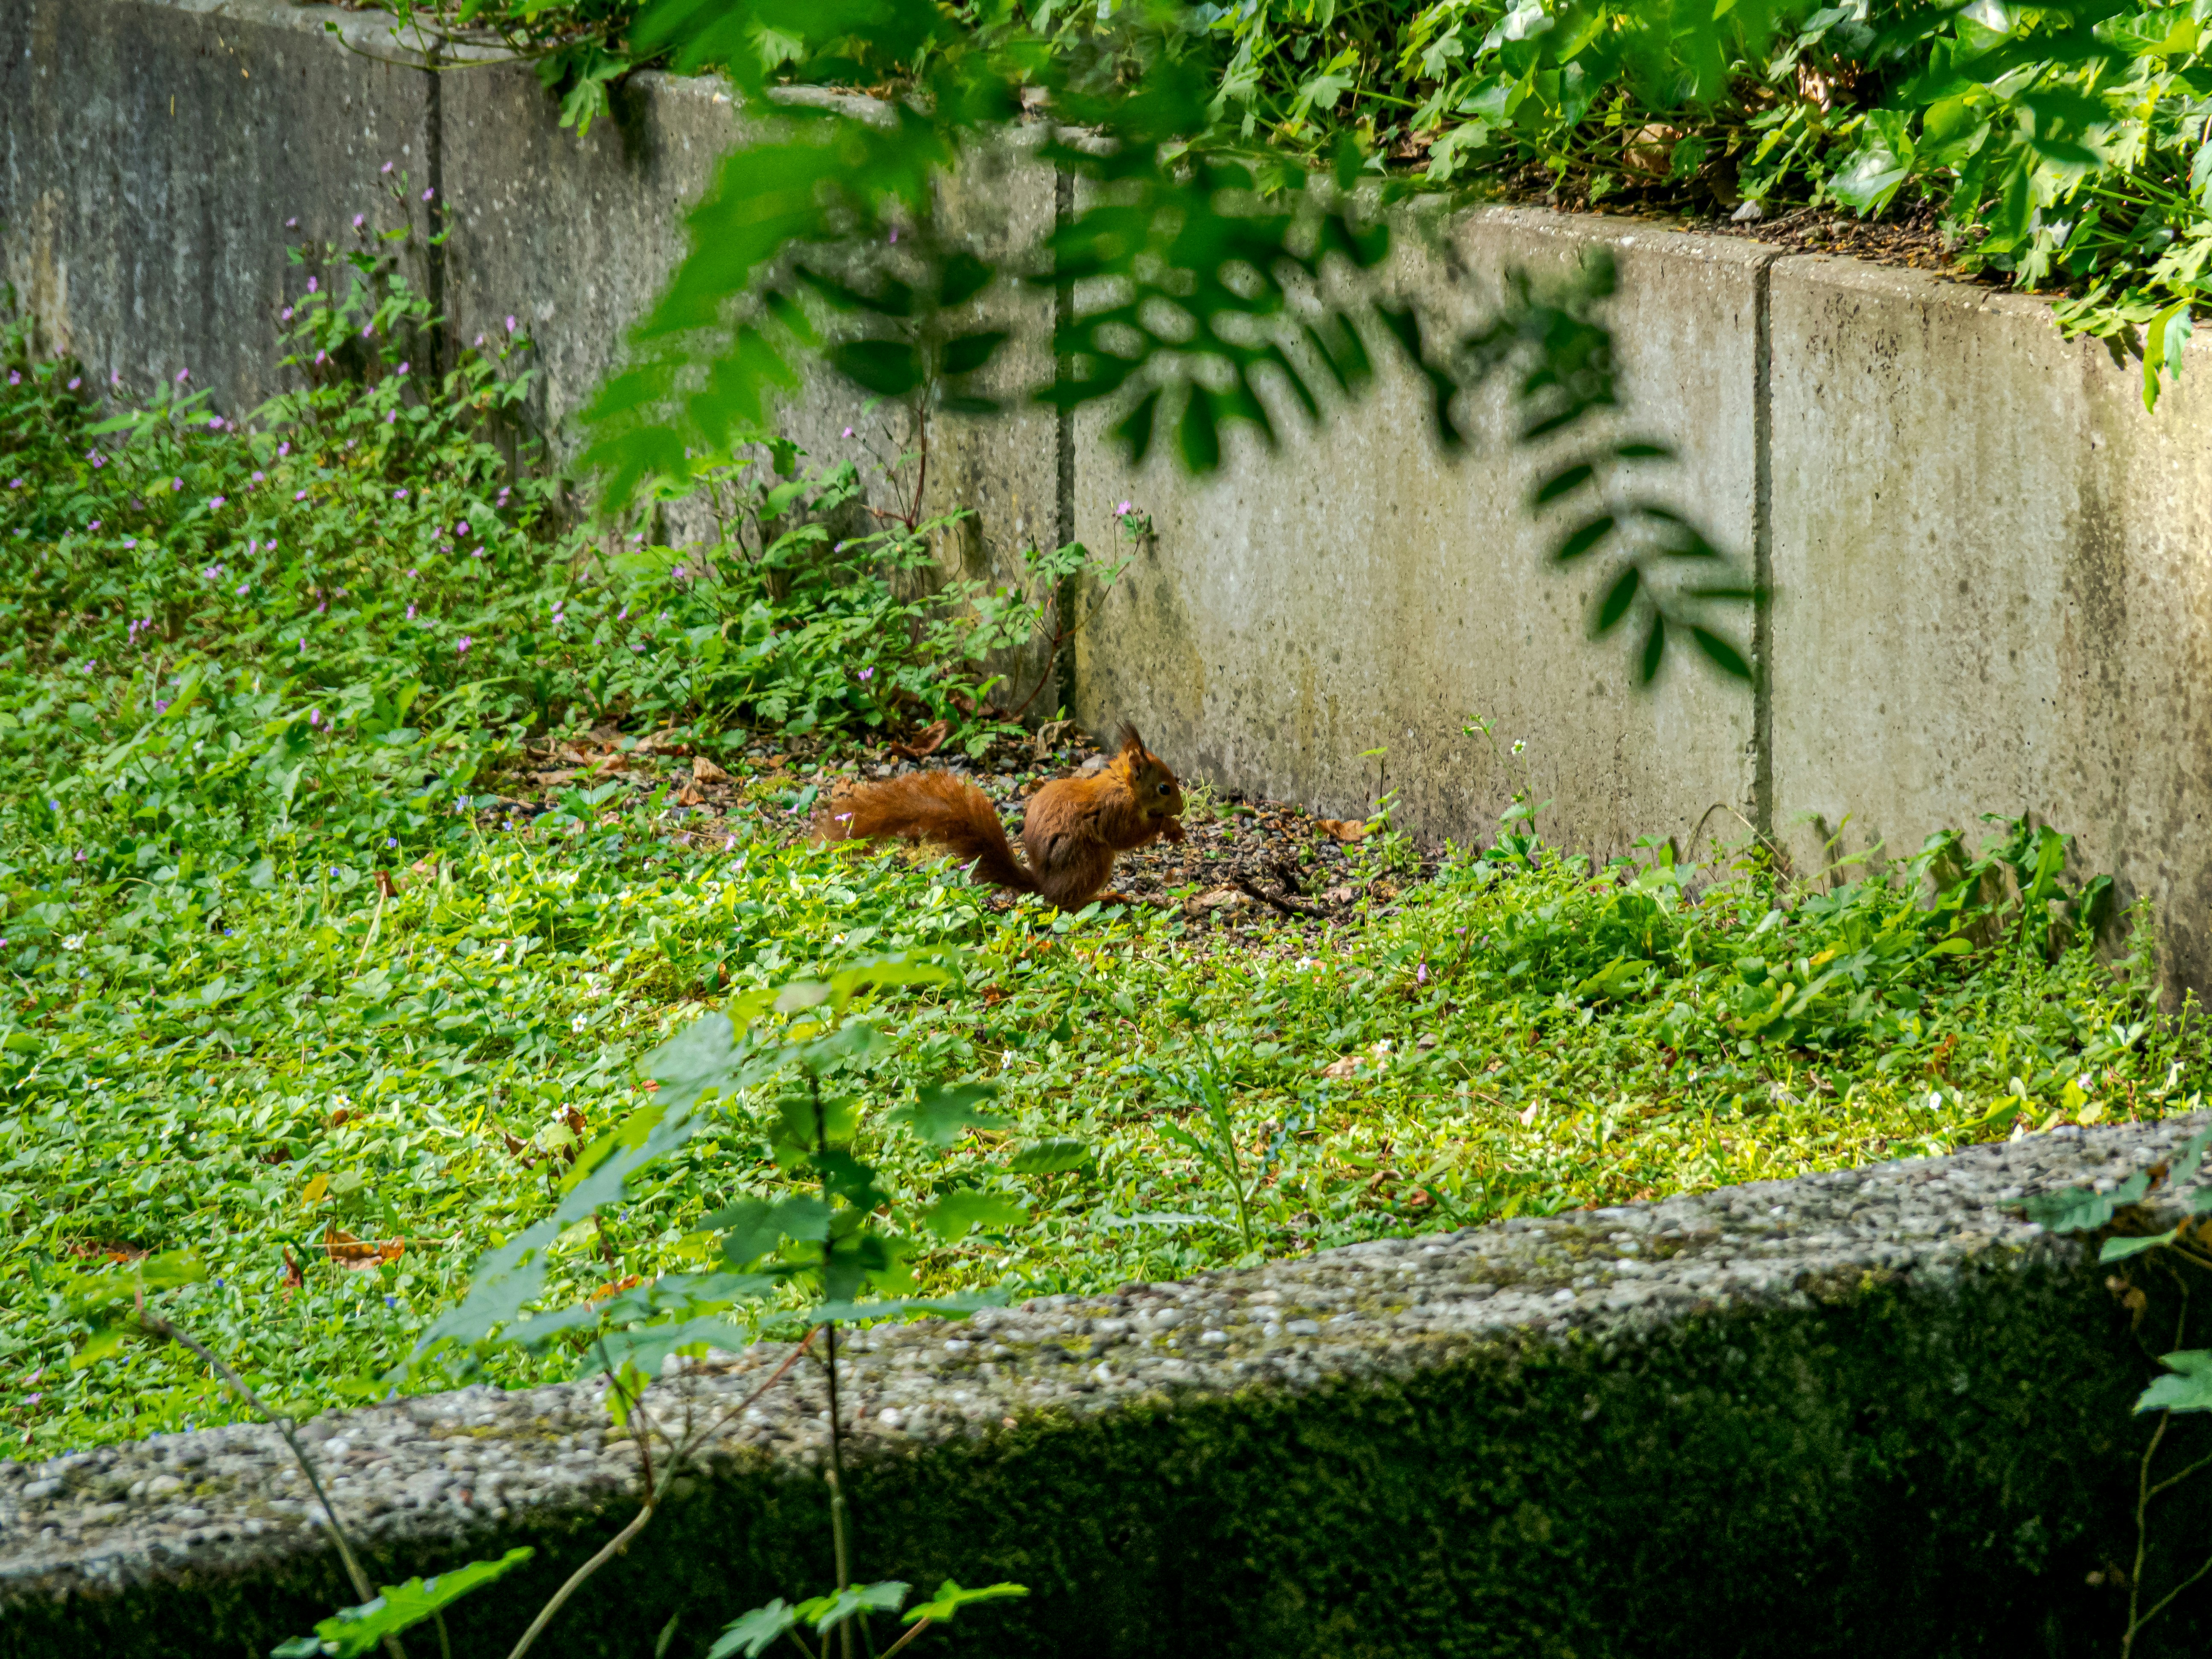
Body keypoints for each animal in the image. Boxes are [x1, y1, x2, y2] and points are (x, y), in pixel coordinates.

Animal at [816, 722, 1186, 910]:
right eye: (1164, 788)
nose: (1181, 808)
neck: (1123, 786)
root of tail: (1043, 885)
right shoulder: (1113, 810)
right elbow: (1125, 836)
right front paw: (1166, 825)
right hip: (1093, 859)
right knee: (1067, 903)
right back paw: (1105, 898)